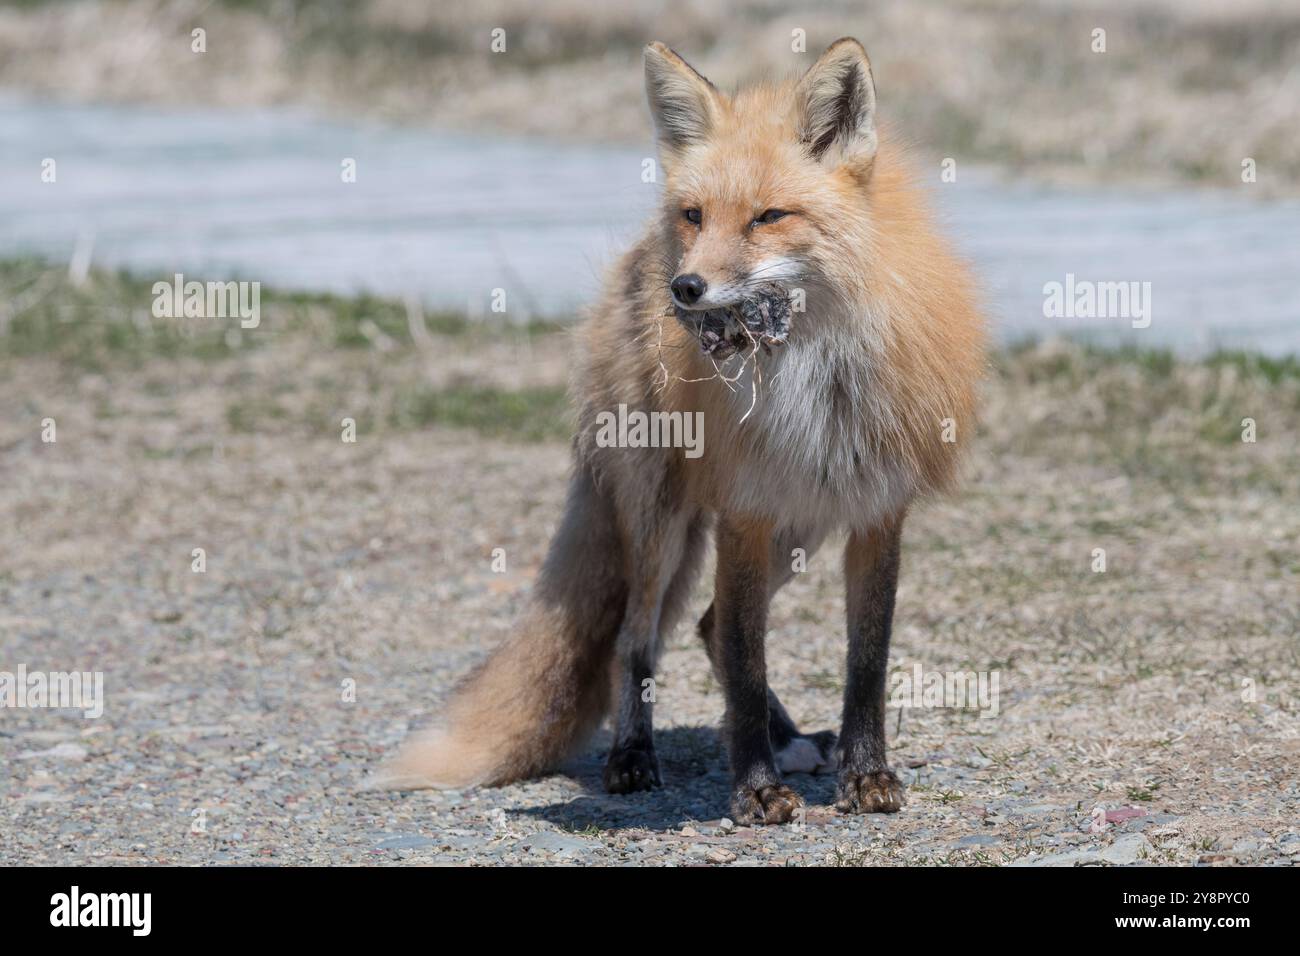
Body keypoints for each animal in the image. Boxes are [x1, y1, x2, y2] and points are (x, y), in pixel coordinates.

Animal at [379, 38, 985, 824]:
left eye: (768, 216)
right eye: (697, 214)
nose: (686, 289)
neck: (814, 374)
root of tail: (638, 256)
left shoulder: (876, 510)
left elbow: (866, 662)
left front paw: (866, 775)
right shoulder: (743, 511)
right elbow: (746, 658)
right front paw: (755, 788)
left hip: (804, 522)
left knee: (703, 627)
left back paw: (790, 741)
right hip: (662, 518)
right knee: (636, 639)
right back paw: (634, 757)